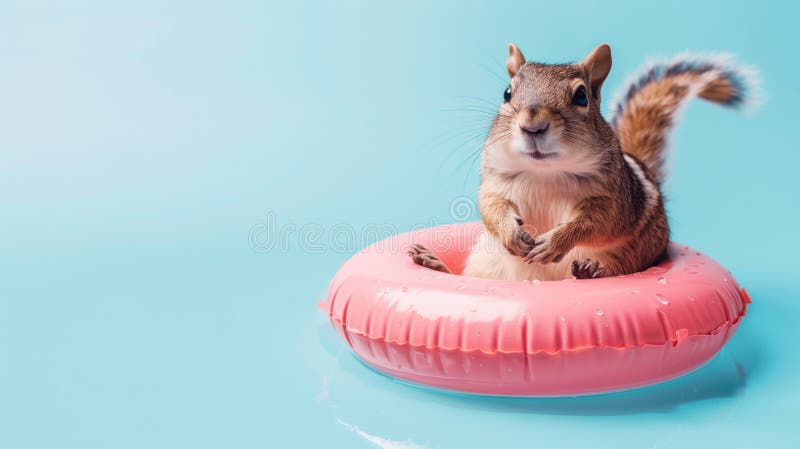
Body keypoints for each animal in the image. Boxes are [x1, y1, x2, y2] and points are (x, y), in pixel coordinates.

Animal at [408, 43, 757, 281]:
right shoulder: (495, 180)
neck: (544, 172)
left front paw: (556, 241)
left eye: (581, 96)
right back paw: (432, 262)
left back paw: (590, 271)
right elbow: (490, 206)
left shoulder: (613, 197)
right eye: (507, 92)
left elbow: (598, 222)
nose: (533, 126)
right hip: (487, 262)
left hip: (629, 256)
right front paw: (511, 233)